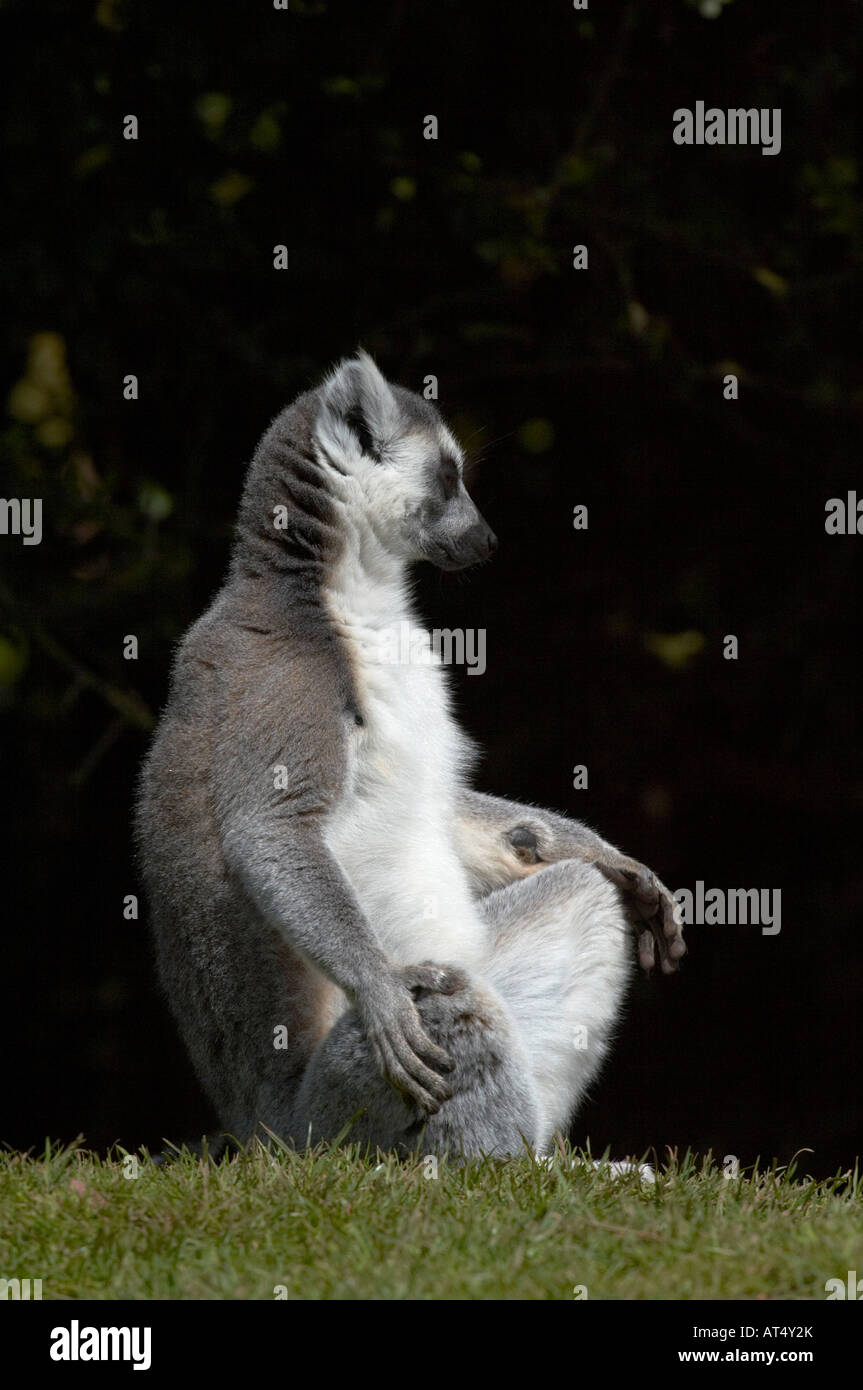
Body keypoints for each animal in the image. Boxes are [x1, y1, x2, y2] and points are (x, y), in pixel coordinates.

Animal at [135, 352, 685, 1159]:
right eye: (449, 478)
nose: (488, 541)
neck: (347, 593)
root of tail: (260, 1131)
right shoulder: (284, 678)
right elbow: (269, 830)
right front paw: (378, 987)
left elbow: (456, 810)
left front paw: (603, 853)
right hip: (332, 1121)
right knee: (445, 1004)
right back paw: (488, 1169)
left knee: (581, 899)